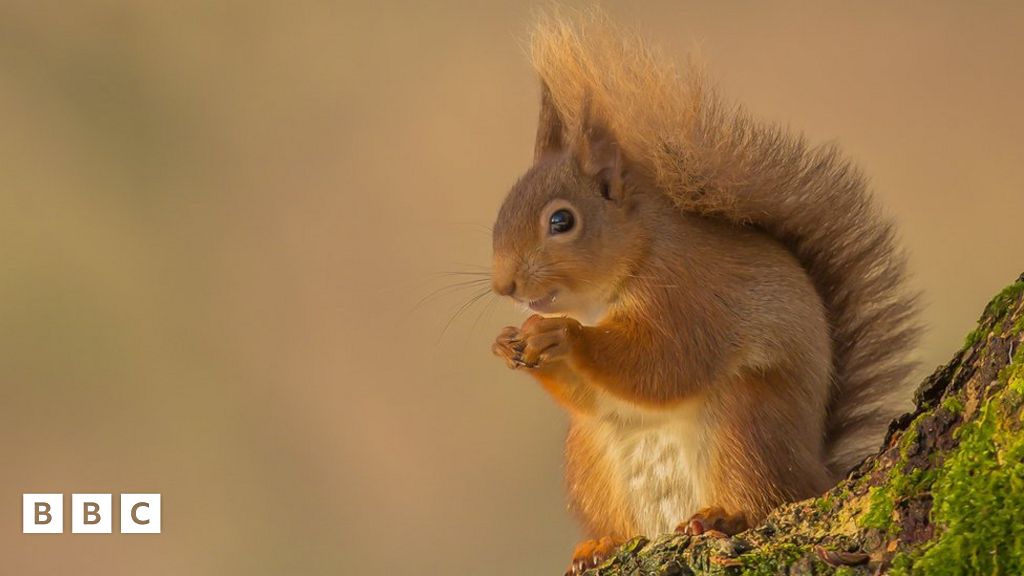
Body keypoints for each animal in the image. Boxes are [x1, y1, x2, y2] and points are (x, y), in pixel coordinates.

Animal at [489, 13, 920, 576]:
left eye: (562, 221)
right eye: (501, 211)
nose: (505, 285)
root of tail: (816, 471)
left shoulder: (690, 296)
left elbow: (665, 363)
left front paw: (563, 335)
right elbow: (594, 395)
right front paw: (507, 343)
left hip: (746, 426)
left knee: (765, 498)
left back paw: (723, 516)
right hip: (590, 459)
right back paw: (600, 544)